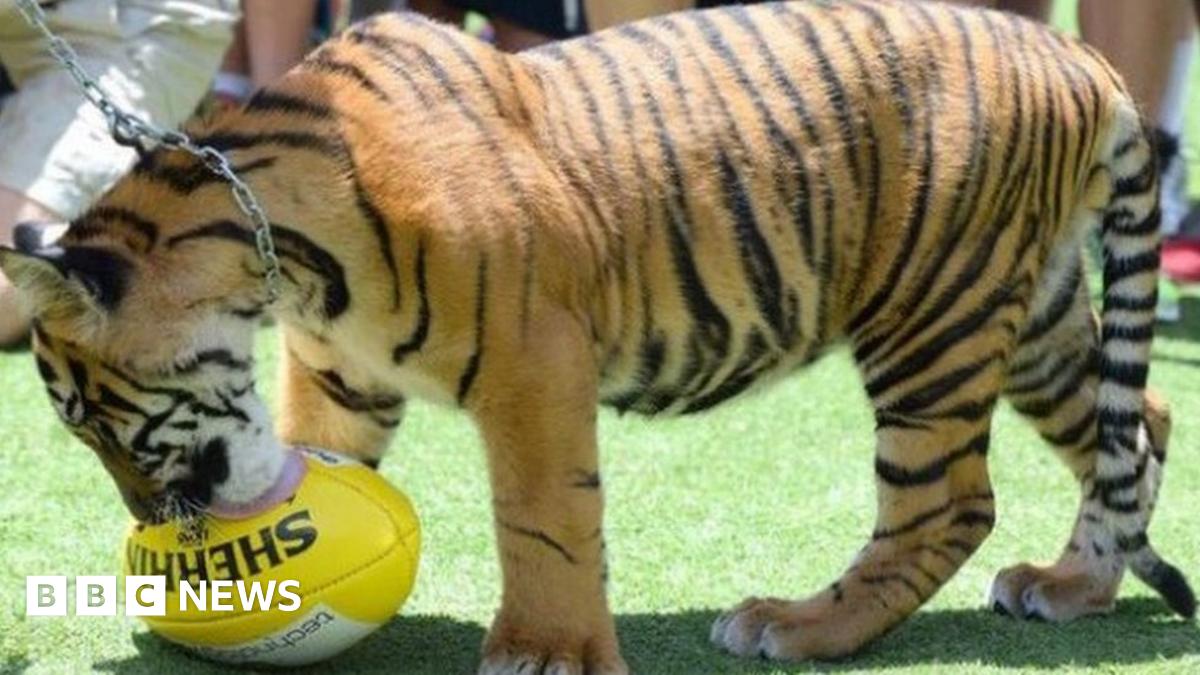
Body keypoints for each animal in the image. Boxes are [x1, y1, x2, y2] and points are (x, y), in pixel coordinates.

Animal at [0, 0, 1193, 671]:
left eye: (96, 421)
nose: (154, 529)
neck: (272, 254)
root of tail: (1080, 61)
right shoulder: (338, 375)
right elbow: (332, 459)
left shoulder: (533, 360)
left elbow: (543, 518)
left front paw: (546, 651)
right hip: (1026, 314)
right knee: (1140, 419)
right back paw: (1075, 588)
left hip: (929, 316)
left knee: (948, 502)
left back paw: (799, 627)